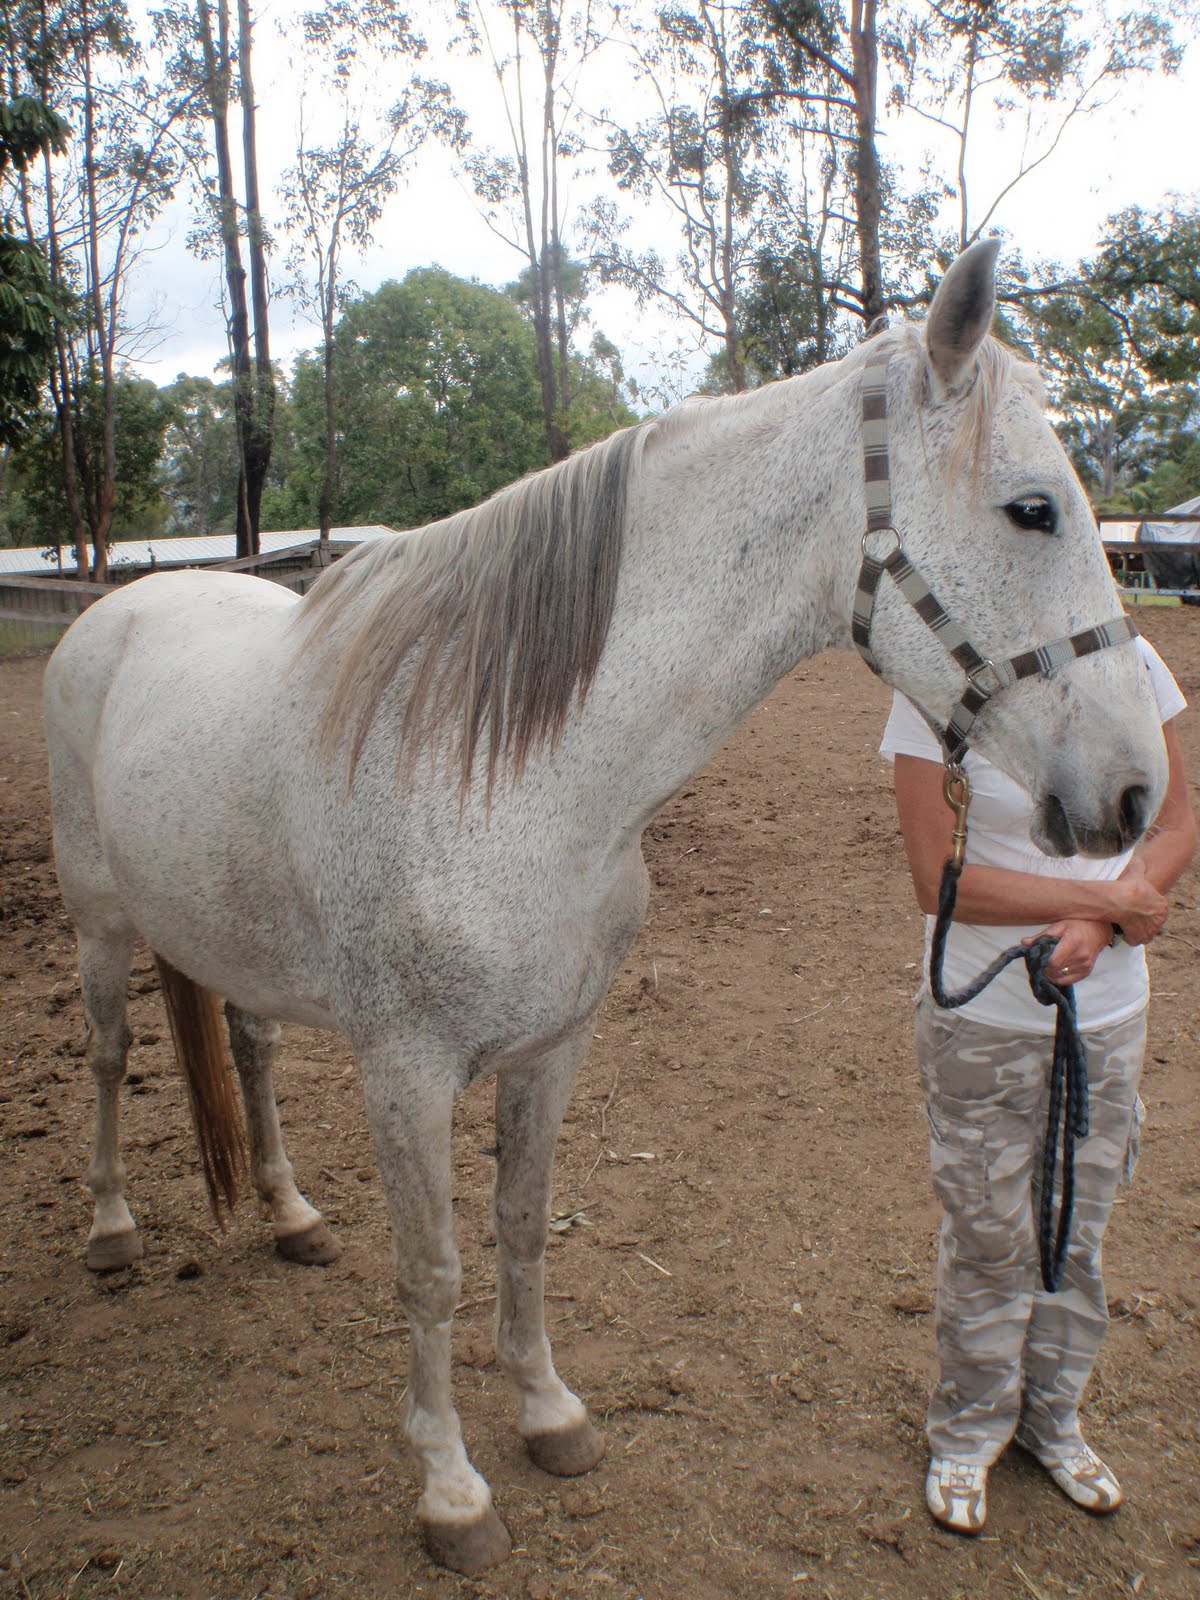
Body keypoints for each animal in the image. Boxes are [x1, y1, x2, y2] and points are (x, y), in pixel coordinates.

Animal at [42, 242, 1166, 1575]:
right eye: (1031, 507)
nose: (1135, 789)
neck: (512, 773)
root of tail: (118, 610)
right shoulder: (405, 1069)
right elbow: (433, 1269)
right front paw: (452, 1489)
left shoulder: (553, 1045)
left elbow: (524, 1229)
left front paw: (548, 1414)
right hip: (102, 928)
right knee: (109, 1056)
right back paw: (113, 1229)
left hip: (235, 942)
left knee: (252, 1049)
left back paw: (290, 1211)